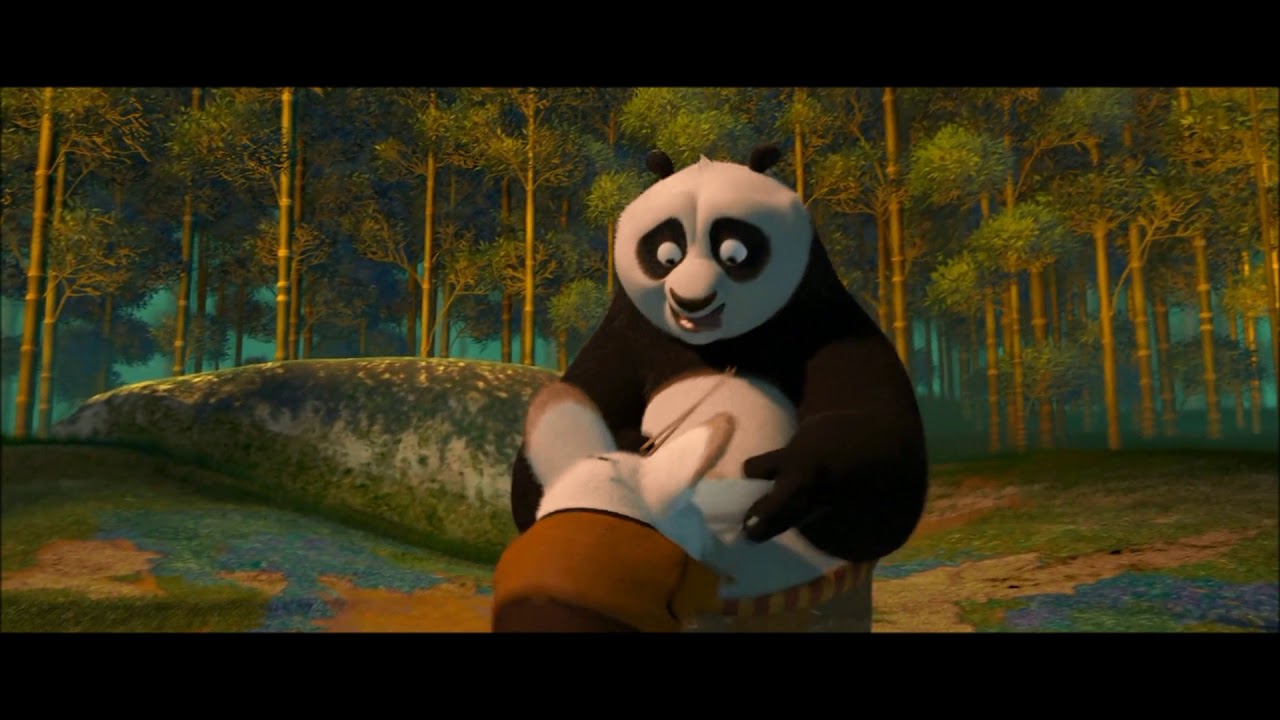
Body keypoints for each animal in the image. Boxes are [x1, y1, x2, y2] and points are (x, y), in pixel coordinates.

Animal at [500, 145, 928, 632]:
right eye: (666, 254)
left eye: (735, 254)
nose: (692, 301)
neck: (717, 344)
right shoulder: (626, 334)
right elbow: (535, 471)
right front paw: (632, 441)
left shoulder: (824, 319)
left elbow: (880, 439)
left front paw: (784, 482)